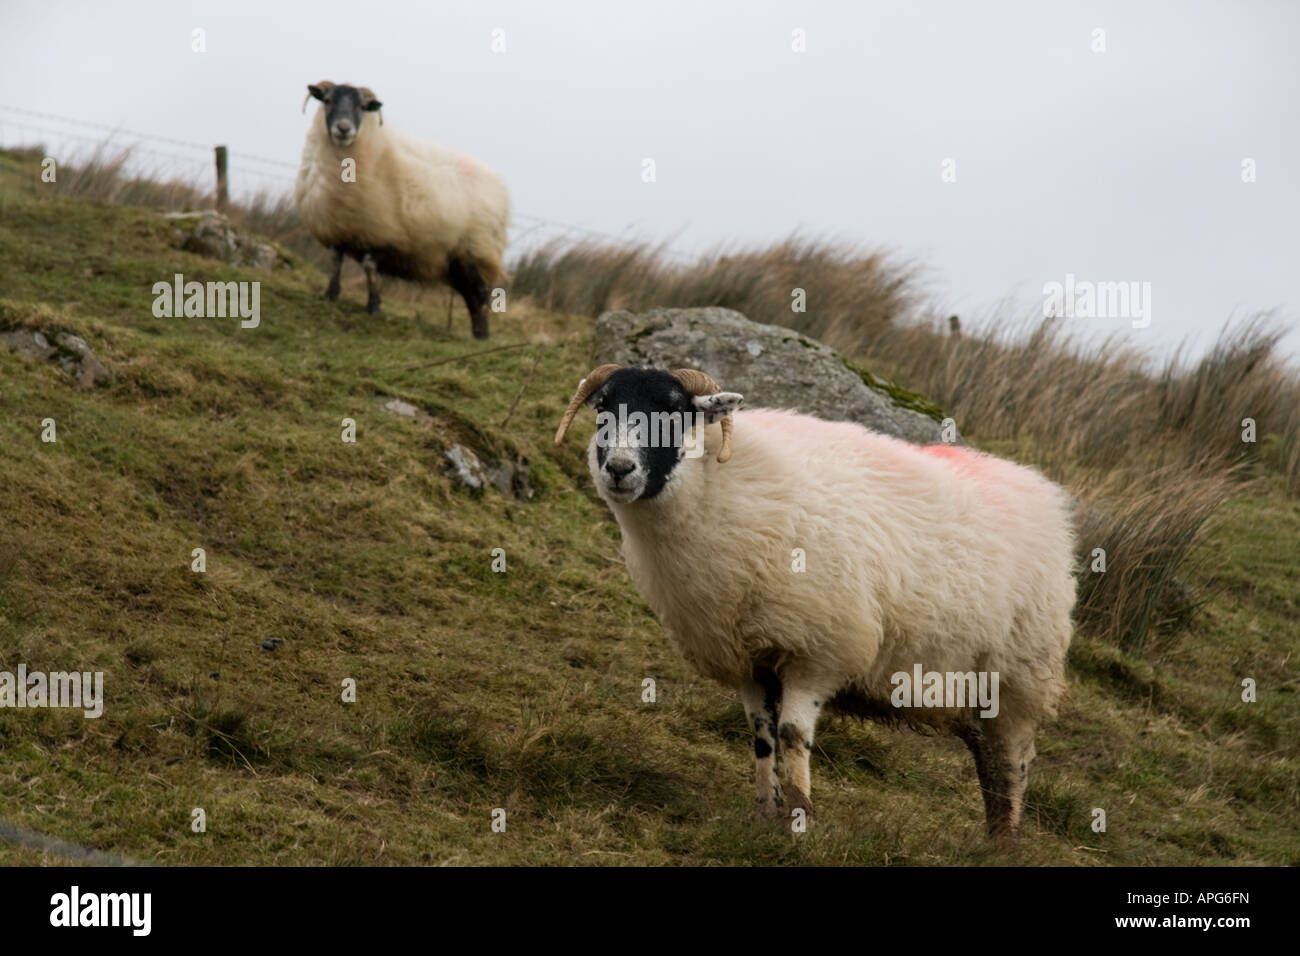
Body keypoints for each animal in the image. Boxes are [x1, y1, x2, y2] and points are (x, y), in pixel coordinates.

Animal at [295, 80, 510, 339]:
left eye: (362, 106)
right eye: (328, 100)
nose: (344, 128)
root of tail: (500, 187)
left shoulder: (375, 231)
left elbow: (370, 268)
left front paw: (374, 307)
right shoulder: (339, 228)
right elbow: (336, 261)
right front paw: (330, 295)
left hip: (475, 250)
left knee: (480, 293)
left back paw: (482, 336)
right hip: (455, 260)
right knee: (471, 296)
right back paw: (477, 332)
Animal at [554, 365, 1076, 836]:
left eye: (676, 411)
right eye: (603, 409)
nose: (618, 469)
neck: (715, 486)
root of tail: (1045, 494)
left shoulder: (820, 649)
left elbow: (791, 734)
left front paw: (800, 817)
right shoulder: (750, 658)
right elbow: (762, 736)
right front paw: (765, 814)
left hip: (1019, 677)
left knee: (1010, 764)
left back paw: (1005, 841)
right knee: (988, 759)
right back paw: (991, 839)